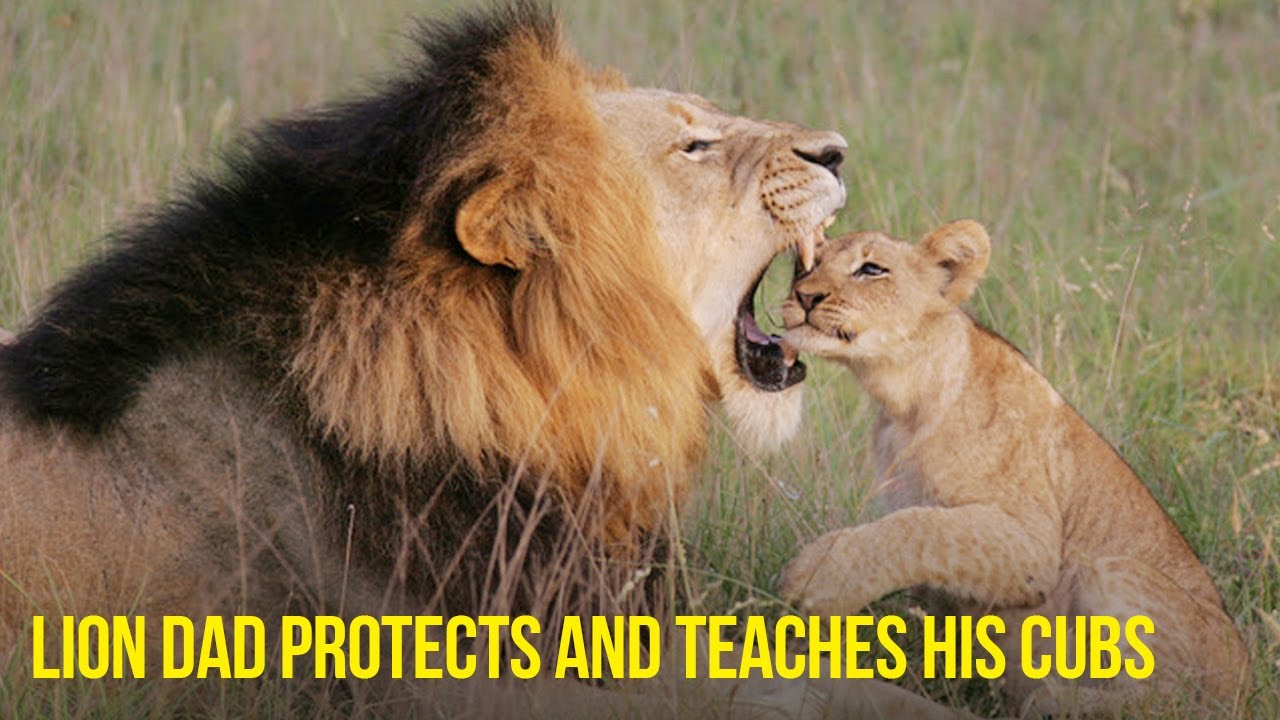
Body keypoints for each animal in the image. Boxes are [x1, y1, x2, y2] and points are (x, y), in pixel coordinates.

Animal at [776, 220, 1249, 715]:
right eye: (805, 265)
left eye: (871, 269)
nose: (805, 296)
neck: (903, 401)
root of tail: (1248, 687)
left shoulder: (1032, 542)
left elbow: (918, 529)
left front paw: (820, 574)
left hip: (1116, 569)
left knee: (1168, 701)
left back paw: (1051, 698)